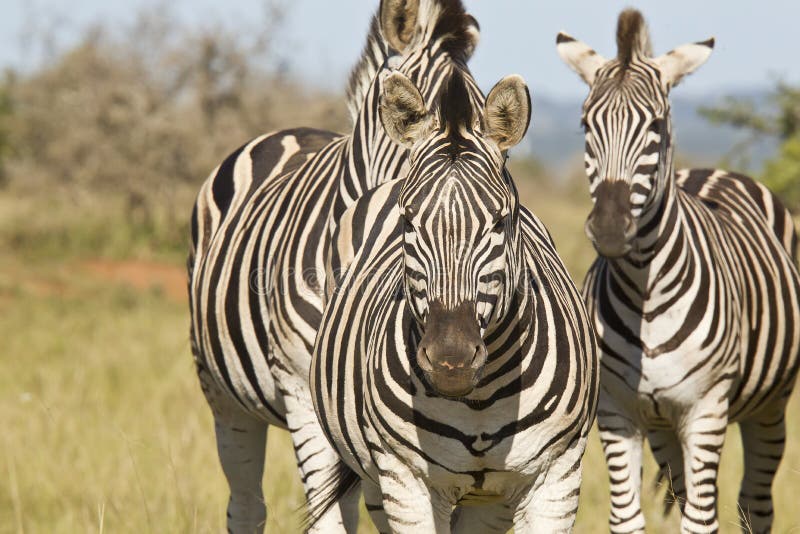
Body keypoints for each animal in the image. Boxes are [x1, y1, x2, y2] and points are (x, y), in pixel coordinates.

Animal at [310, 61, 600, 532]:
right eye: (408, 221)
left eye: (500, 222)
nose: (452, 359)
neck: (479, 401)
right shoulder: (405, 482)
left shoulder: (557, 478)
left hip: (489, 502)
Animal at [556, 9, 800, 534]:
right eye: (586, 123)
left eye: (655, 125)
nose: (610, 229)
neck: (645, 295)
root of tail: (715, 170)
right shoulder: (617, 412)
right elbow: (629, 518)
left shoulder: (705, 410)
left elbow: (701, 521)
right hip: (664, 427)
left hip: (771, 404)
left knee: (755, 504)